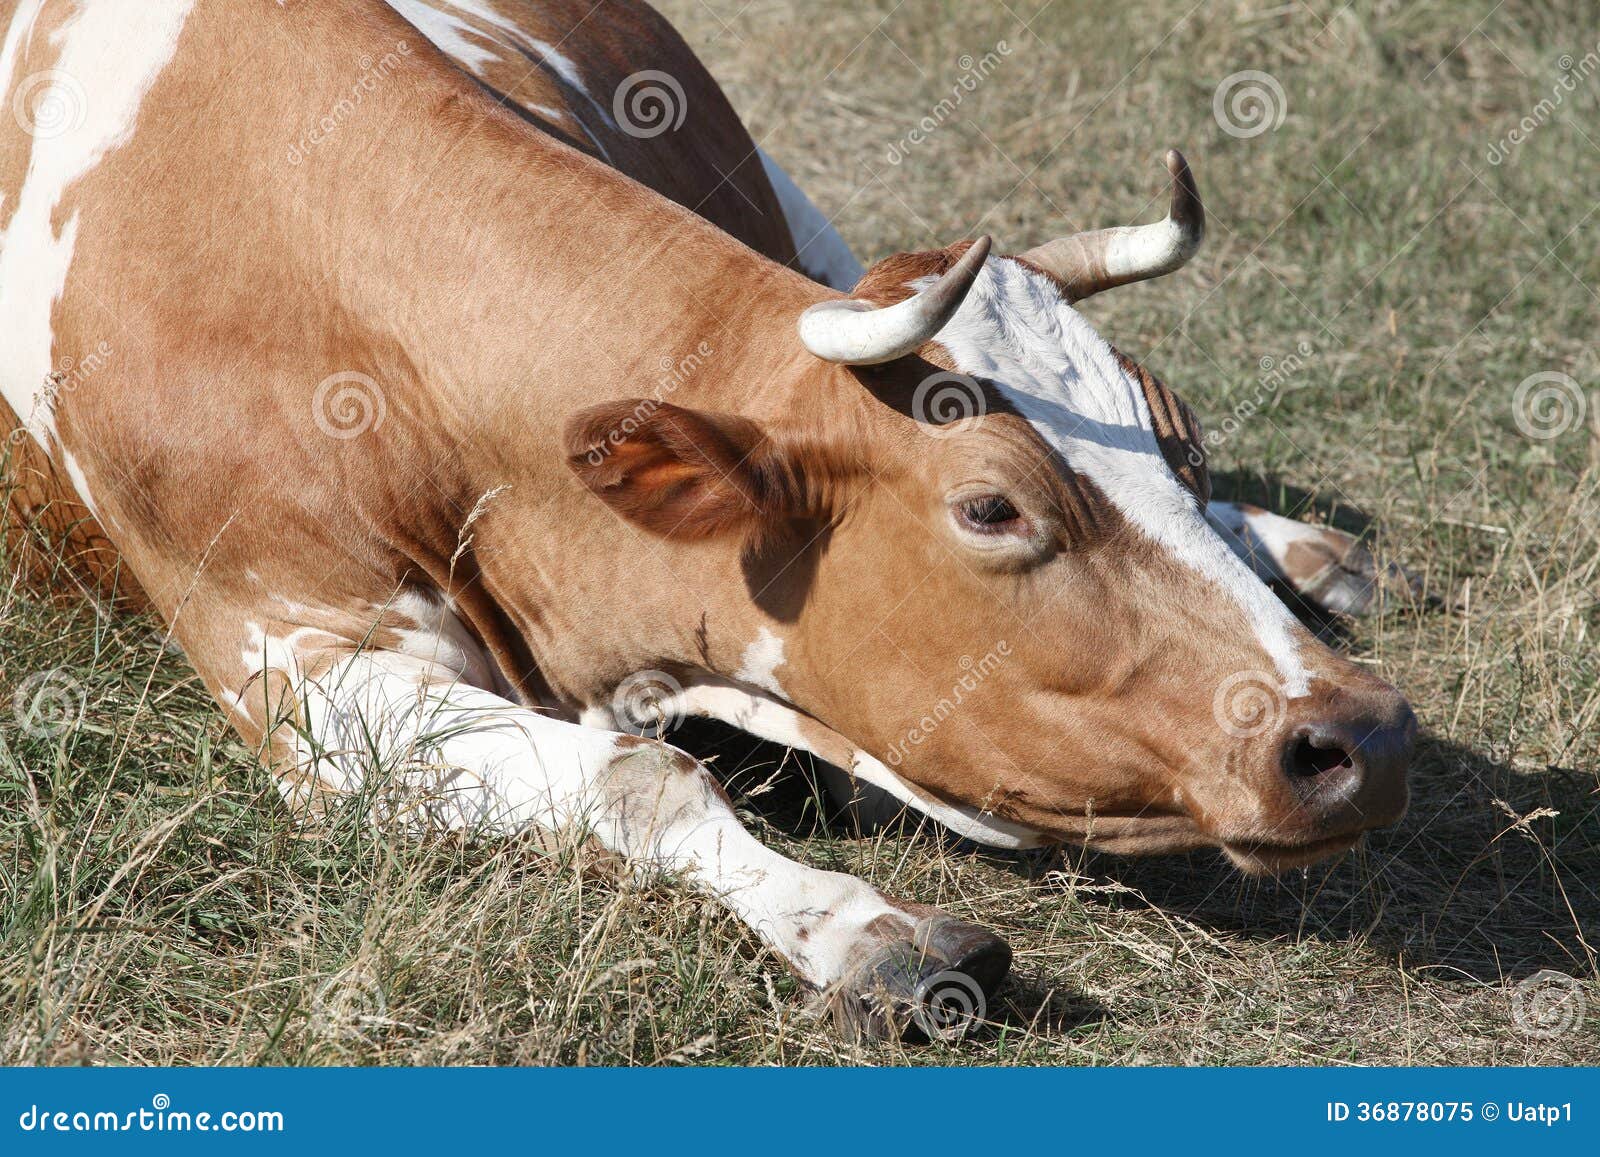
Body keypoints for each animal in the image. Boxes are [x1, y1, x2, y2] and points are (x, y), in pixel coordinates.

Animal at [0, 0, 1416, 1039]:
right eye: (991, 504)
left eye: (1181, 434)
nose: (1367, 732)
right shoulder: (301, 672)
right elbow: (643, 776)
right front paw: (865, 930)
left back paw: (1313, 550)